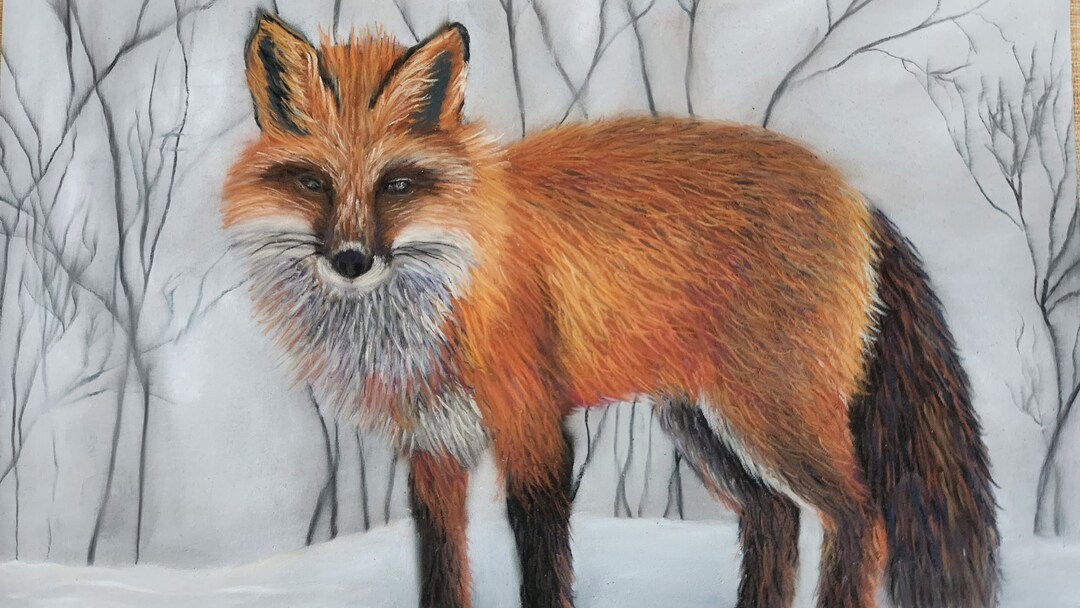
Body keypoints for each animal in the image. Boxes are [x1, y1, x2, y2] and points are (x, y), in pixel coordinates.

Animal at [222, 12, 1000, 608]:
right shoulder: (434, 444)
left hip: (772, 416)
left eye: (397, 184)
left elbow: (544, 566)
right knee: (775, 517)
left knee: (862, 517)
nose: (351, 260)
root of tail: (857, 196)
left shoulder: (533, 426)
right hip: (702, 423)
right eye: (313, 183)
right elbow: (442, 568)